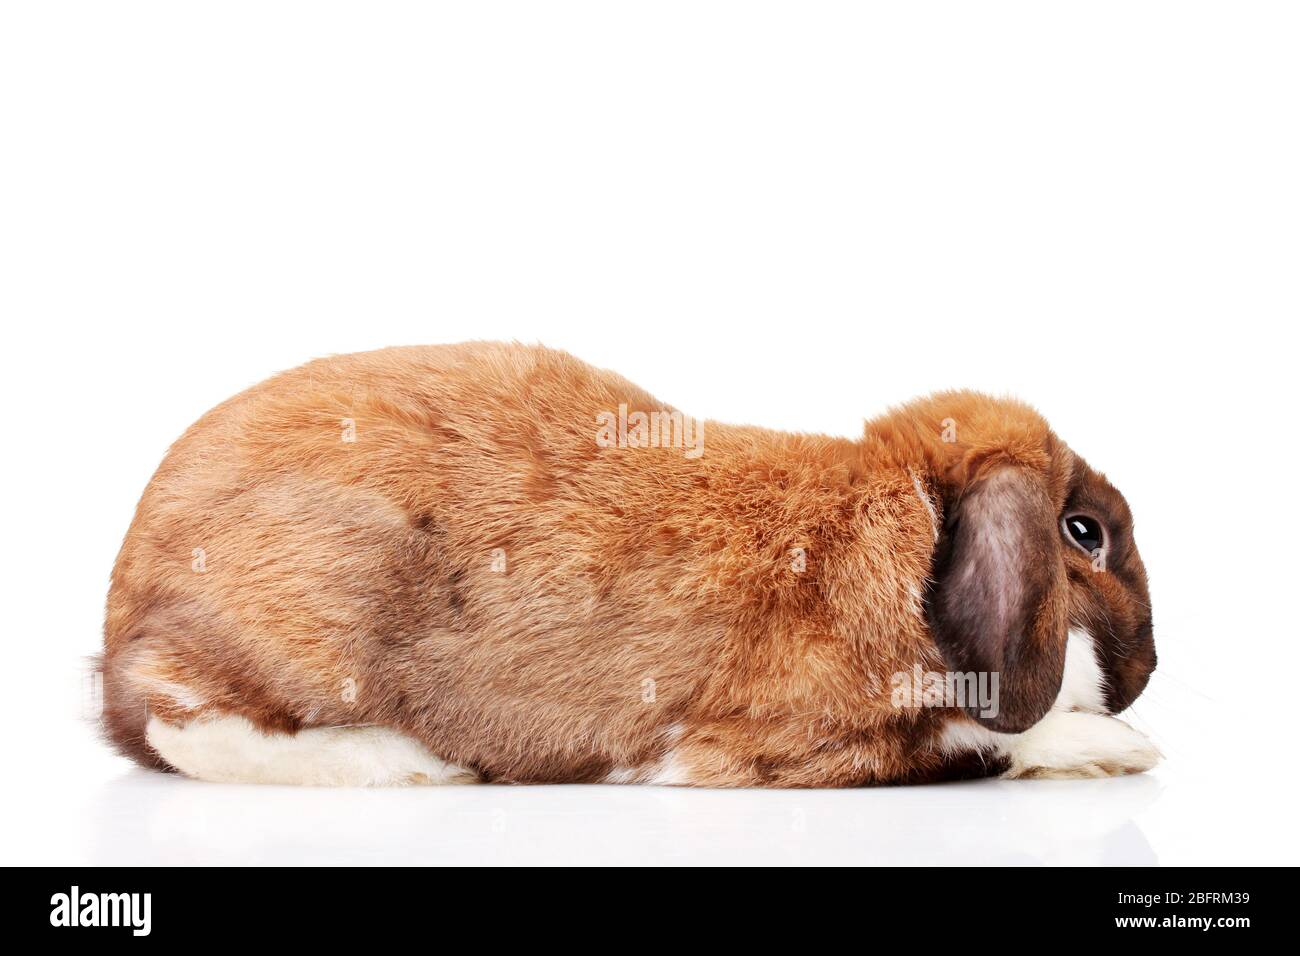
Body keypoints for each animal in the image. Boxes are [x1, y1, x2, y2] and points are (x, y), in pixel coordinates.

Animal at [99, 342, 1159, 786]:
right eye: (1085, 534)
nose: (1149, 673)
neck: (908, 527)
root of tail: (121, 610)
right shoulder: (782, 743)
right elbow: (981, 744)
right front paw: (1118, 750)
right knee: (182, 726)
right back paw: (416, 769)